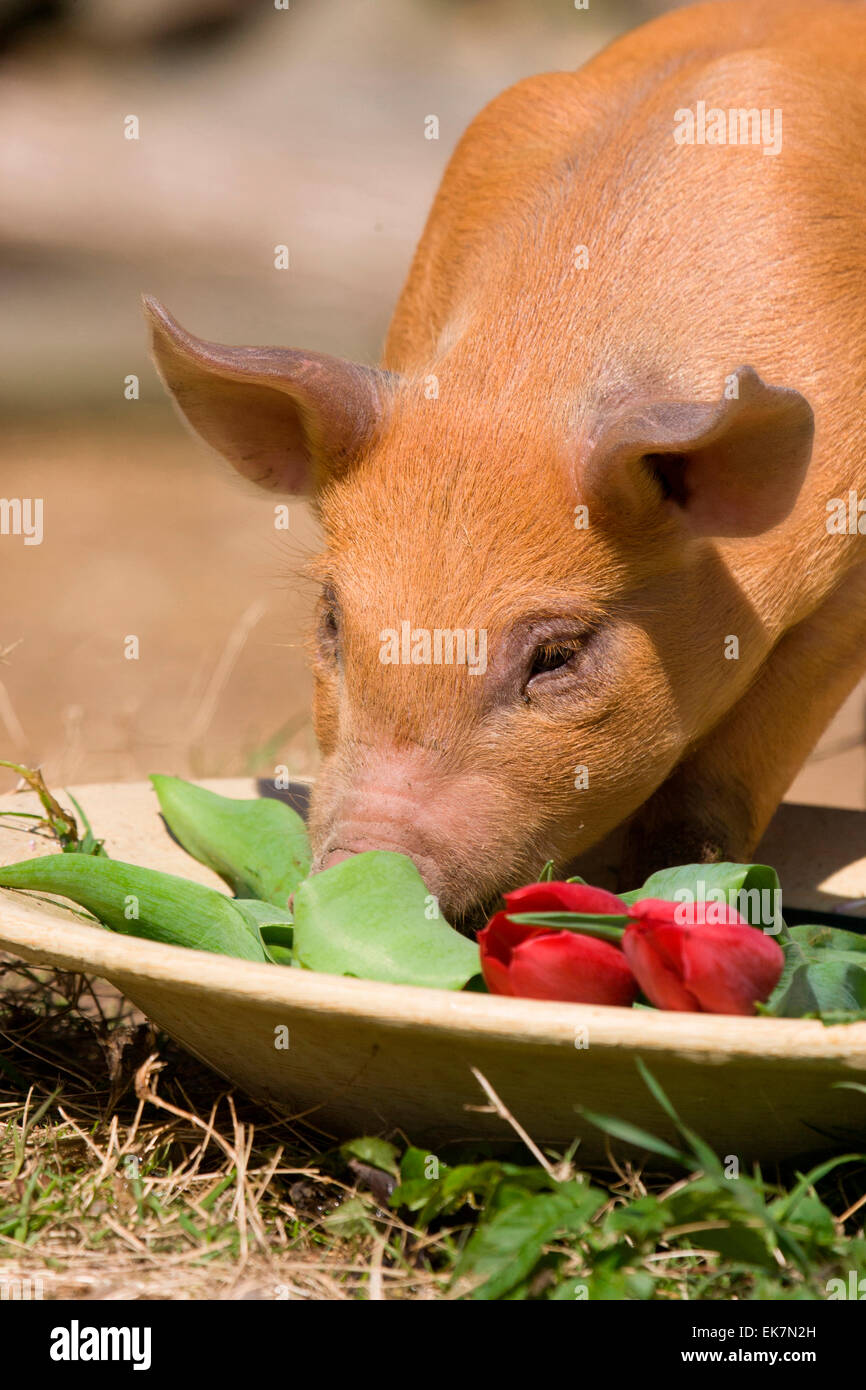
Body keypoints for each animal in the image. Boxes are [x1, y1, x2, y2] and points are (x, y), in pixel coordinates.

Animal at [146, 0, 866, 925]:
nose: (361, 862)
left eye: (557, 656)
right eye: (333, 621)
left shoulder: (846, 576)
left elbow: (721, 785)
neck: (531, 378)